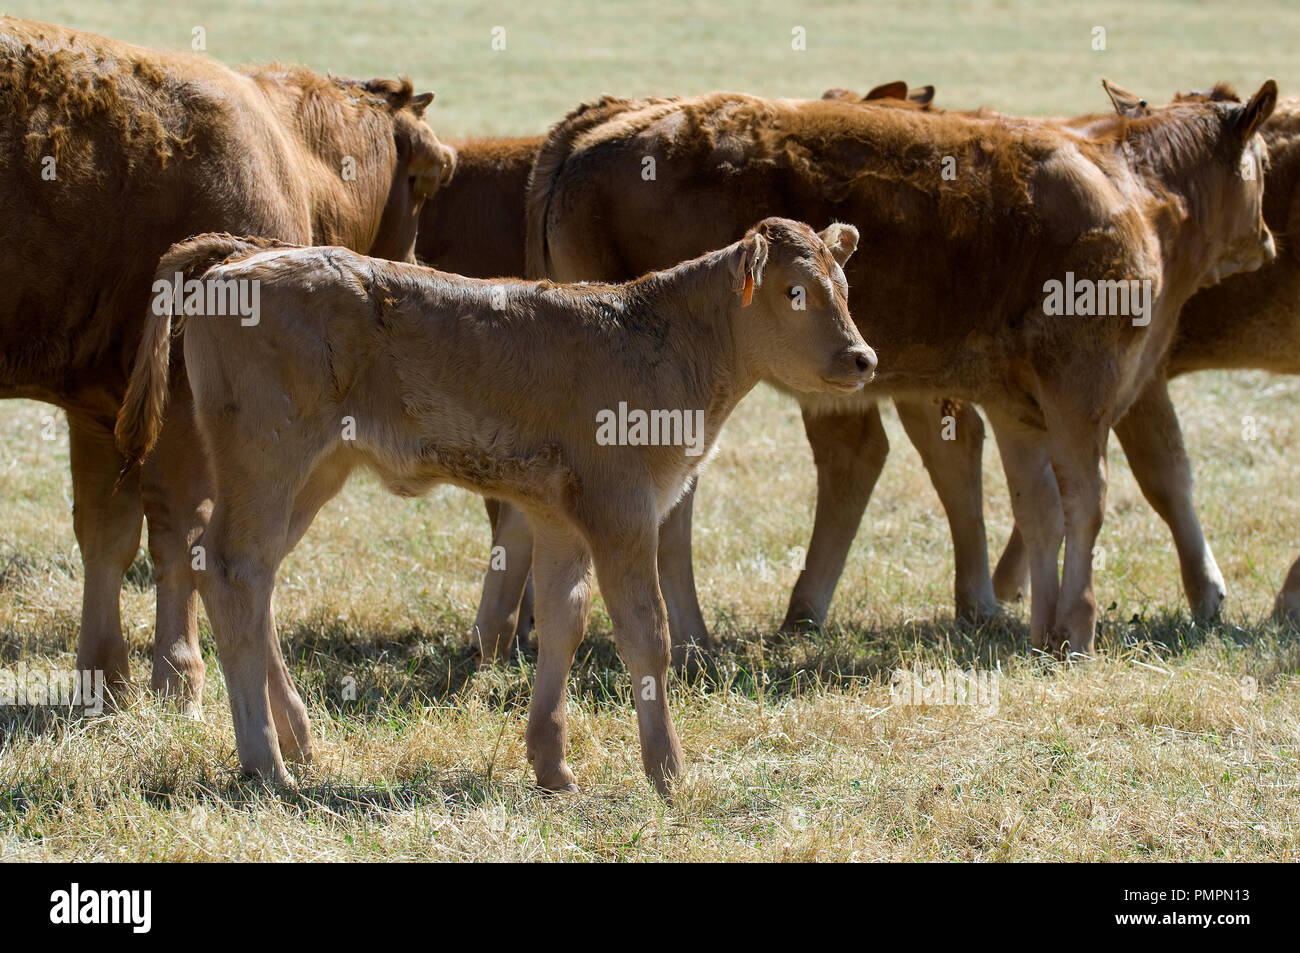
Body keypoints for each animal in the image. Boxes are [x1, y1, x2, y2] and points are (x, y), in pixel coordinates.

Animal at [0, 17, 455, 713]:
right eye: (431, 176)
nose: (406, 271)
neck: (287, 150)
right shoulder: (182, 402)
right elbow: (182, 535)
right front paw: (178, 675)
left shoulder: (103, 406)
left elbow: (106, 534)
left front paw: (104, 678)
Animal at [113, 219, 875, 795]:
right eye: (793, 290)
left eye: (844, 287)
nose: (864, 358)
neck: (657, 340)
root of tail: (243, 253)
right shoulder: (622, 508)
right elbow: (646, 633)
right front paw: (669, 773)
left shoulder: (561, 519)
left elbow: (565, 622)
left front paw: (552, 763)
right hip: (267, 456)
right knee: (235, 568)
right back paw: (267, 762)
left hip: (314, 471)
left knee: (247, 574)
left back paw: (295, 739)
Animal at [500, 82, 1276, 660]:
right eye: (1262, 165)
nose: (1267, 238)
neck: (1128, 183)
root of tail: (594, 129)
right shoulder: (1084, 391)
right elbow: (1093, 499)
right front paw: (1080, 630)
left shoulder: (1021, 408)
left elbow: (1040, 508)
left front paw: (1042, 630)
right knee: (672, 508)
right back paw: (689, 638)